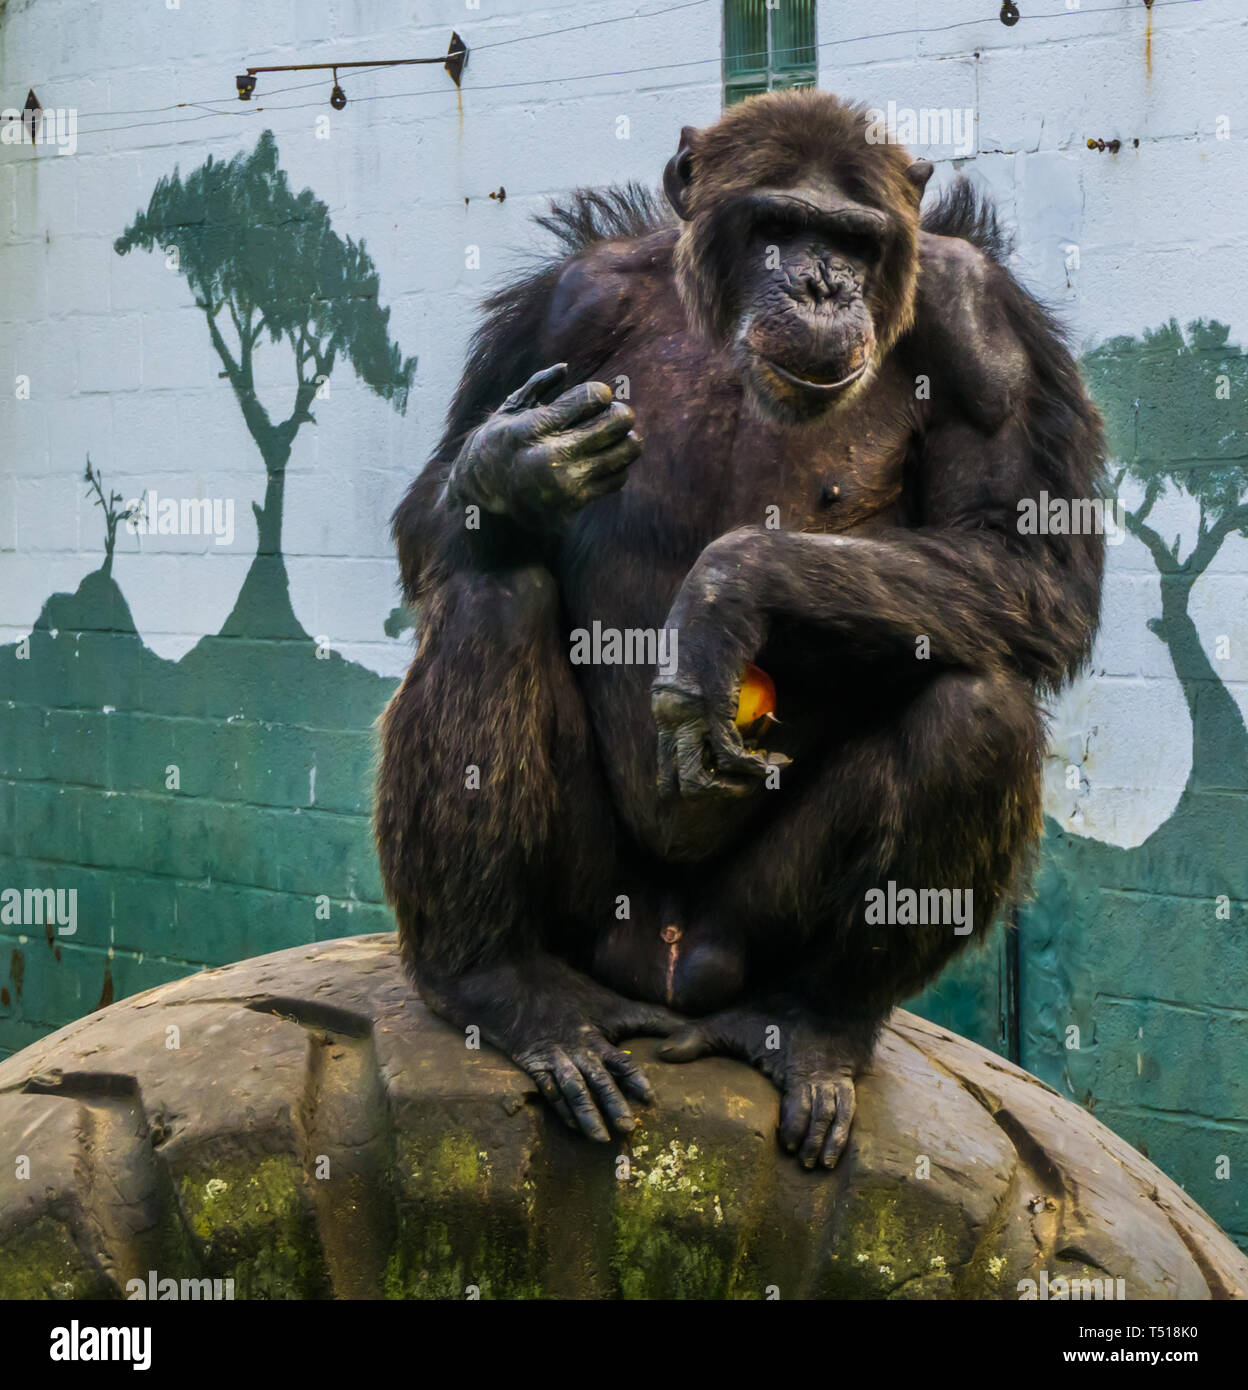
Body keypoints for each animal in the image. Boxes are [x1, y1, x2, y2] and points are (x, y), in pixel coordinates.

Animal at [375, 89, 1104, 1168]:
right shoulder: (563, 304)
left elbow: (1030, 562)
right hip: (591, 910)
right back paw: (503, 988)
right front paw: (511, 466)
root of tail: (665, 965)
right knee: (490, 596)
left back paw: (811, 1026)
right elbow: (431, 514)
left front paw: (729, 588)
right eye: (777, 225)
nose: (819, 283)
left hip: (750, 930)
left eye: (854, 238)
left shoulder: (986, 325)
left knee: (981, 707)